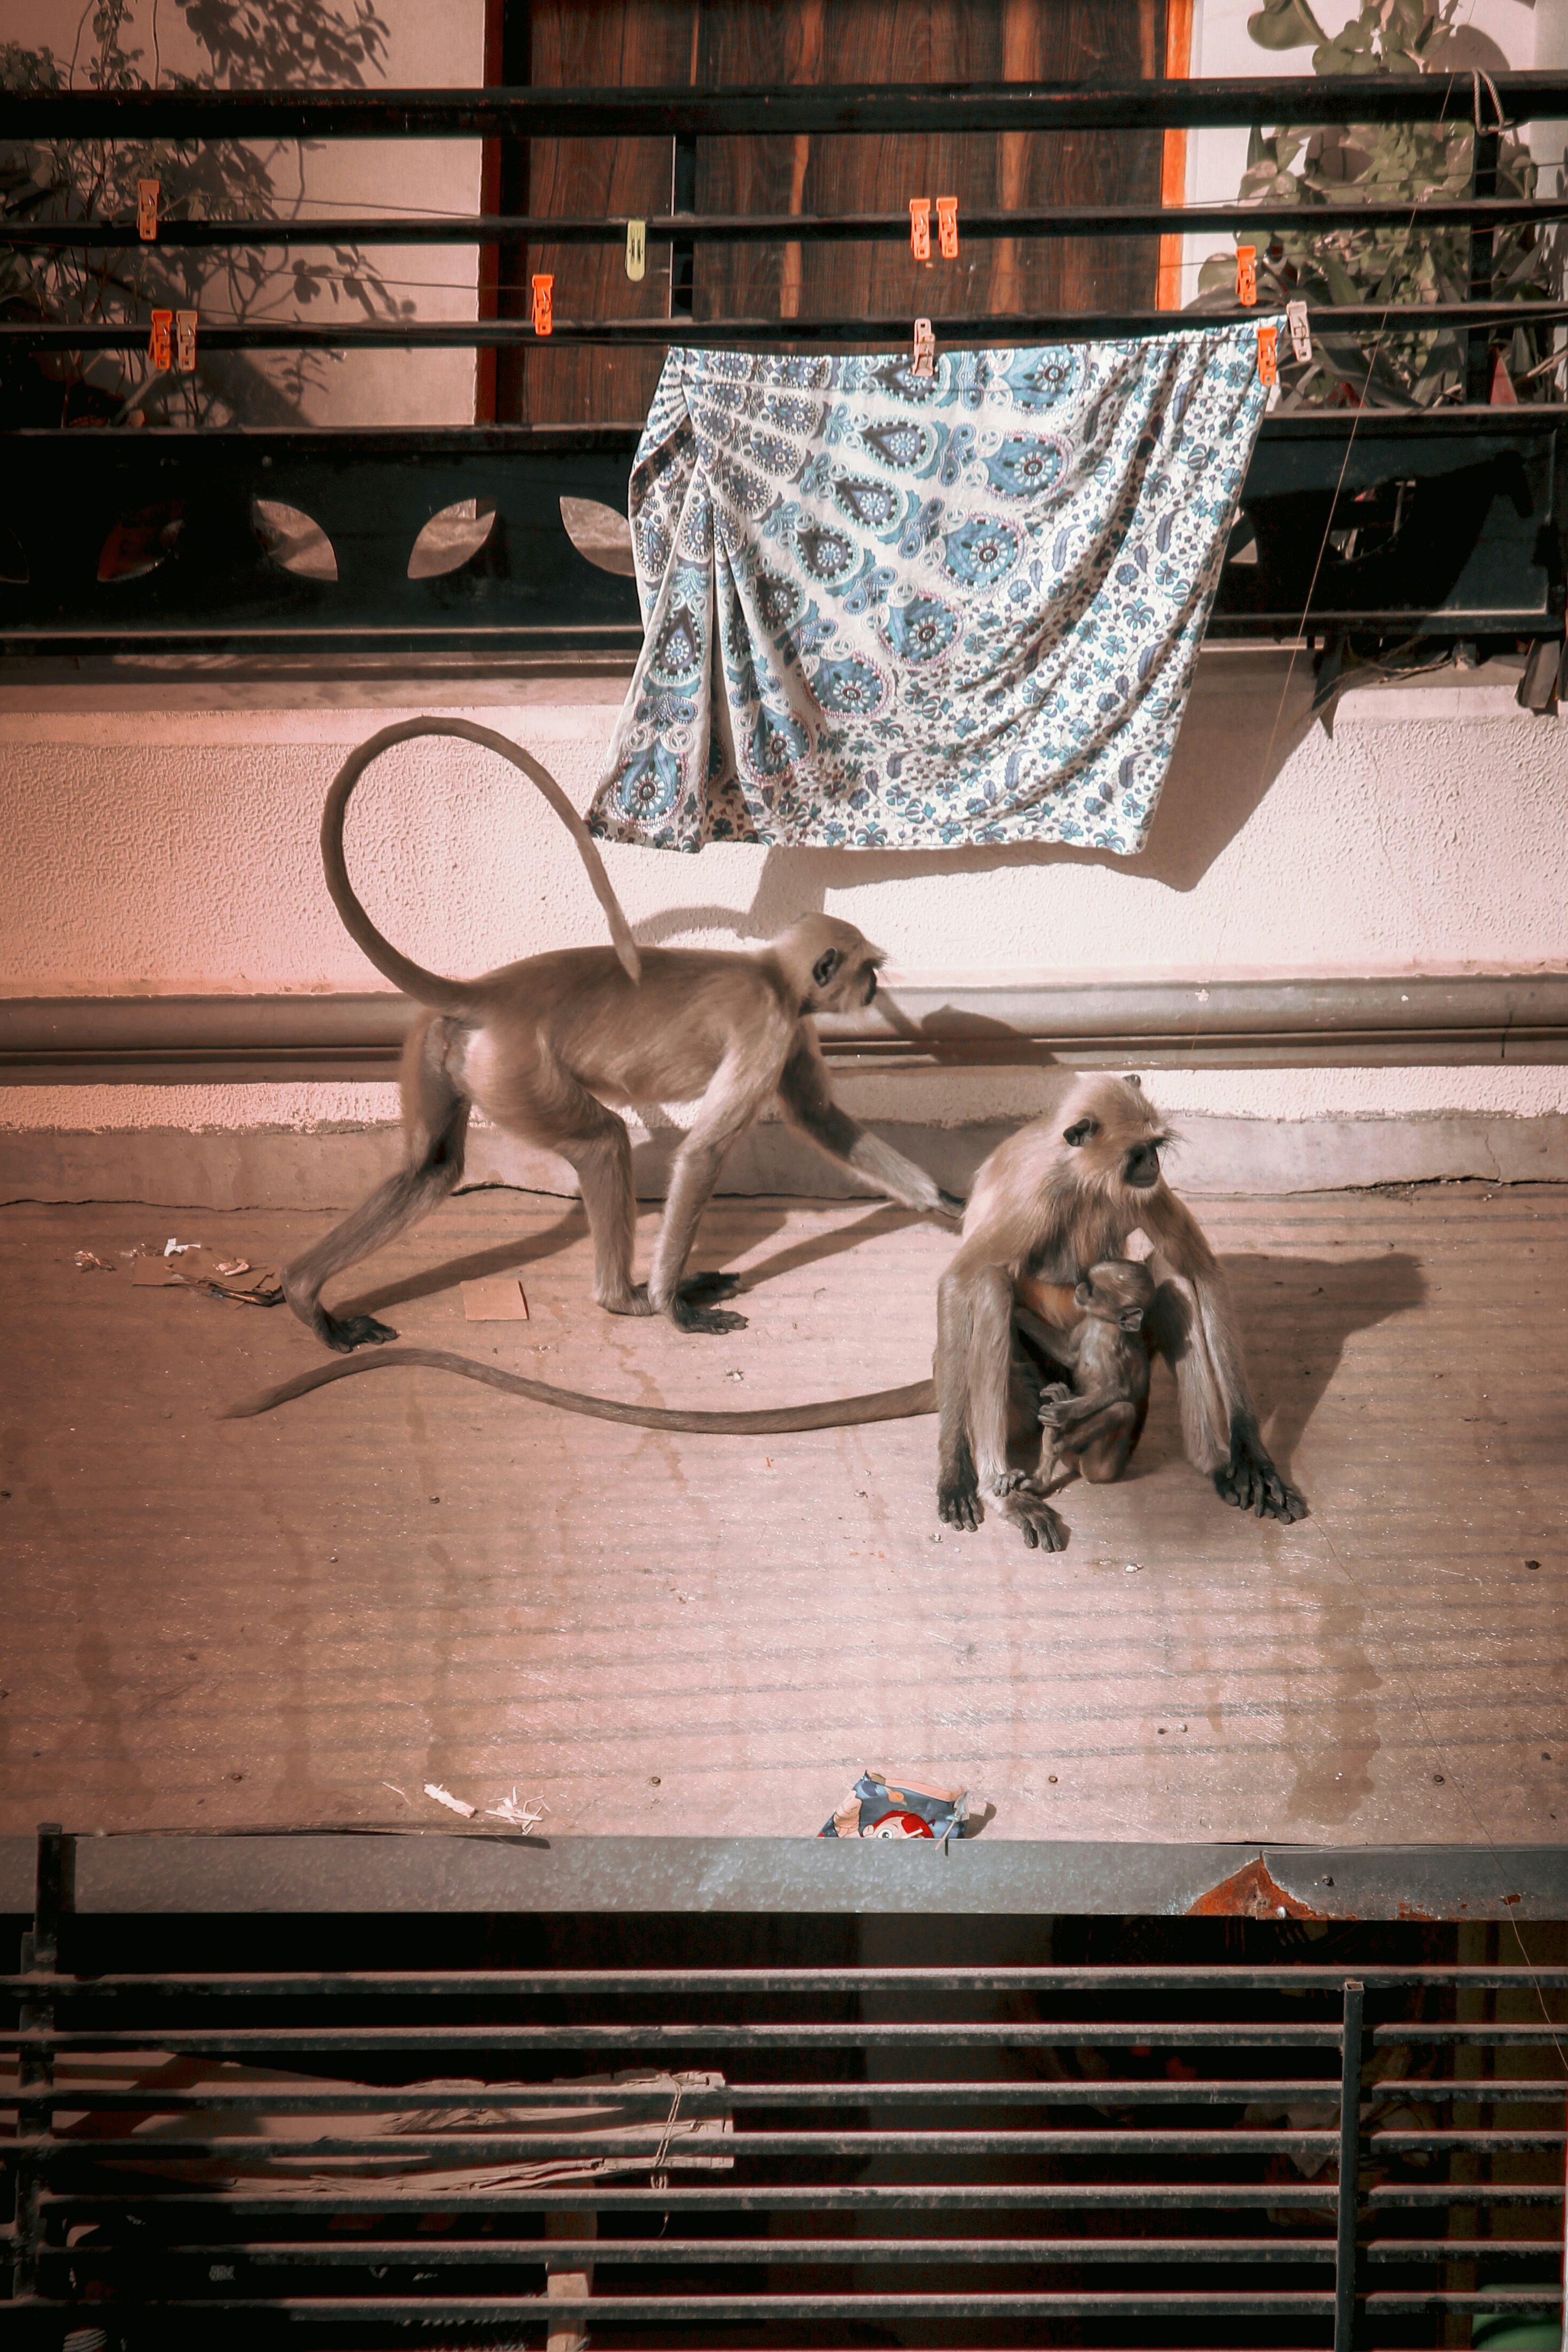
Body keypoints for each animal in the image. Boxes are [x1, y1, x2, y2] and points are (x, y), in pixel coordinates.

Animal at [280, 717, 963, 1355]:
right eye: (866, 969)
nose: (872, 988)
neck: (771, 973)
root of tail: (489, 993)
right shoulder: (770, 1023)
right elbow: (705, 1153)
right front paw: (672, 1308)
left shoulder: (791, 1026)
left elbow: (819, 1116)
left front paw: (946, 1202)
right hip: (520, 1071)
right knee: (604, 1142)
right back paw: (628, 1298)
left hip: (443, 1050)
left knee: (431, 1168)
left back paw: (302, 1292)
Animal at [1032, 1258, 1155, 1490]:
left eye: (1091, 1291)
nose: (1080, 1287)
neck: (1102, 1324)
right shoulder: (1087, 1323)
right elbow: (1067, 1354)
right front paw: (1016, 1310)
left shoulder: (1112, 1344)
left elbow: (1119, 1389)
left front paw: (1062, 1412)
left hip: (1101, 1468)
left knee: (1123, 1410)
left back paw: (1056, 1441)